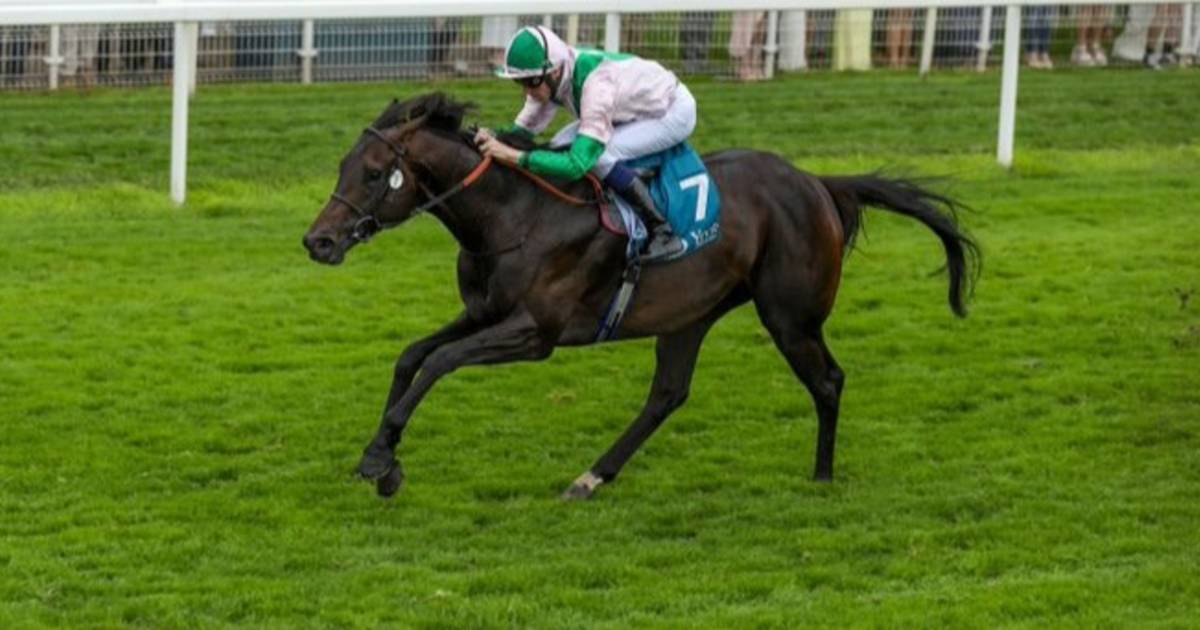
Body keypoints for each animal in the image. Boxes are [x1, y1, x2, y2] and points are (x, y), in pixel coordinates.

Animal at [303, 93, 979, 500]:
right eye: (341, 166)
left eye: (372, 173)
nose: (319, 241)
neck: (514, 213)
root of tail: (816, 182)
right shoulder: (484, 312)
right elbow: (412, 357)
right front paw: (381, 452)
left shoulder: (535, 333)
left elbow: (439, 362)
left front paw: (381, 463)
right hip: (691, 314)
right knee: (668, 395)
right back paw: (592, 476)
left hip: (791, 317)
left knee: (829, 381)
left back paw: (822, 474)